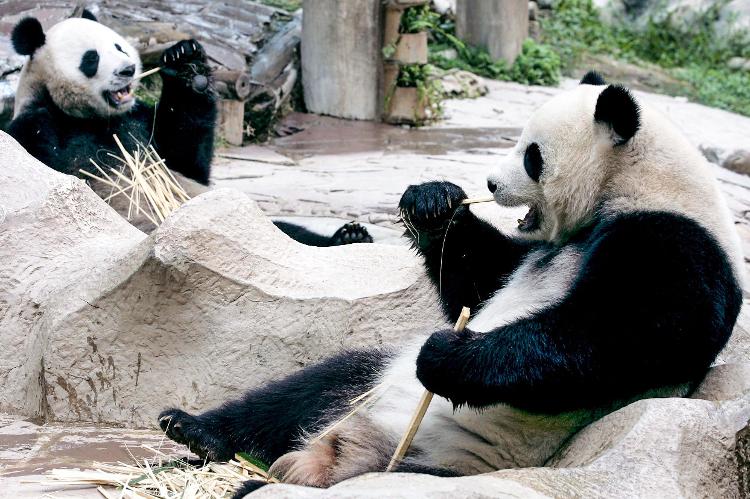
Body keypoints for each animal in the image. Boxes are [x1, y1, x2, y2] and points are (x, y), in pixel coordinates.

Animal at [6, 13, 372, 247]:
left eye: (118, 46)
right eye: (91, 58)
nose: (127, 70)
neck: (92, 117)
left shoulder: (141, 123)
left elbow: (187, 161)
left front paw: (187, 64)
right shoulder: (36, 125)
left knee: (287, 234)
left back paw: (349, 237)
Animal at [159, 71, 743, 497]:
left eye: (531, 155)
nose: (489, 182)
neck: (638, 181)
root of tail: (344, 451)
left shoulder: (675, 243)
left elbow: (618, 335)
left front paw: (449, 357)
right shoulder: (537, 250)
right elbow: (479, 281)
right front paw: (432, 203)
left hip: (436, 462)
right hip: (366, 385)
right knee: (302, 391)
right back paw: (194, 428)